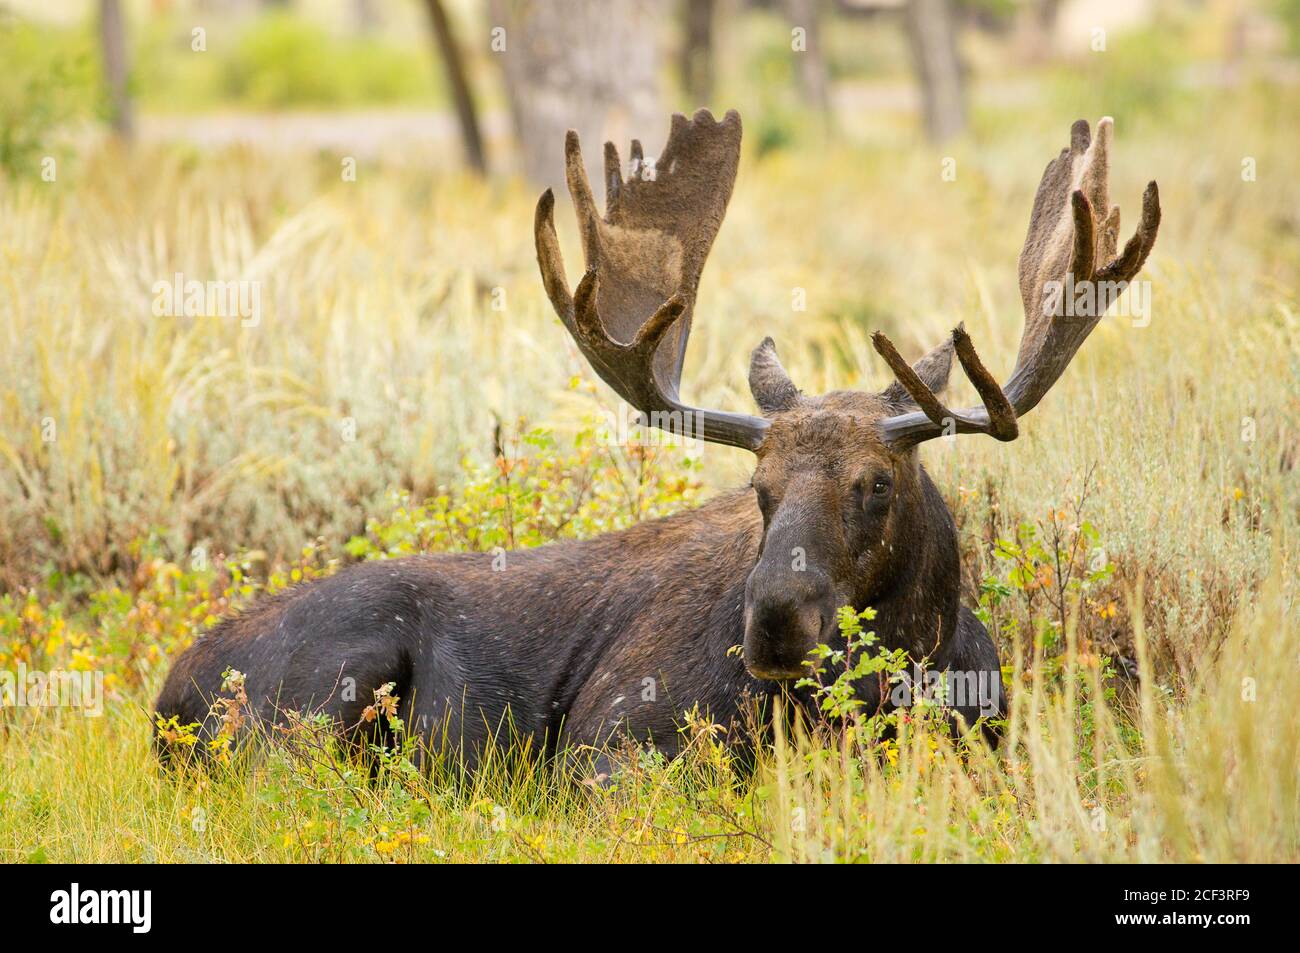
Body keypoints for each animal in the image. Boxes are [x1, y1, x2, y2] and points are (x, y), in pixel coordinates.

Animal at [155, 109, 1159, 776]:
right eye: (760, 486)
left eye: (877, 482)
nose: (773, 619)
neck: (922, 660)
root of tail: (166, 696)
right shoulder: (604, 743)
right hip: (315, 707)